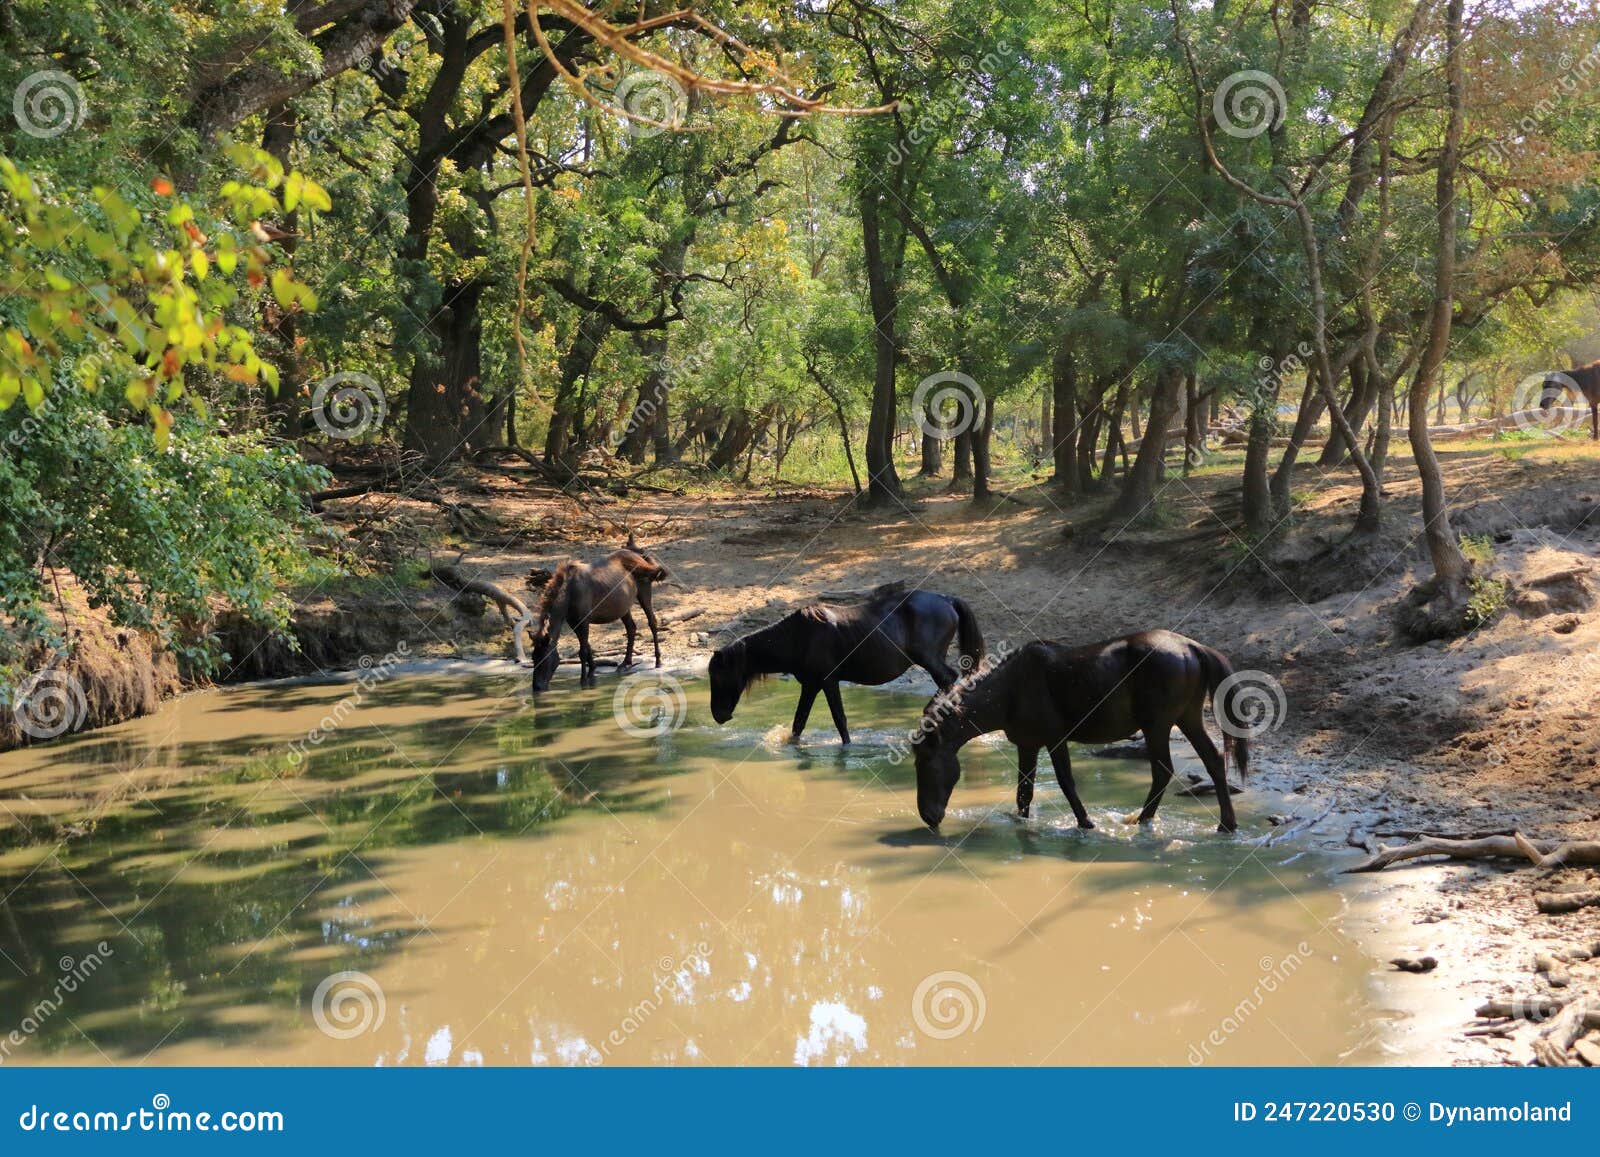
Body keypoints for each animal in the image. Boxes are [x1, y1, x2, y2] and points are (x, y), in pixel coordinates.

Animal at [529, 540, 669, 691]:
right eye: (533, 658)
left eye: (544, 659)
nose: (537, 687)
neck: (569, 592)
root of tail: (641, 557)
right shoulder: (574, 622)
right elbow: (588, 648)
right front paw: (592, 671)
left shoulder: (583, 621)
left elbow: (582, 651)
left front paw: (584, 680)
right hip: (624, 608)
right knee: (631, 628)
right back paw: (625, 663)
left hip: (644, 593)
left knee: (652, 622)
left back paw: (658, 661)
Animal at [708, 585, 984, 745]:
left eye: (719, 675)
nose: (719, 715)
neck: (800, 636)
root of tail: (947, 599)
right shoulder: (810, 685)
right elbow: (799, 722)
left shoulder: (828, 681)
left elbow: (840, 719)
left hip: (929, 658)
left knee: (948, 679)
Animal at [911, 630, 1250, 834]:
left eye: (925, 762)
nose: (928, 816)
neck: (1012, 689)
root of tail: (1192, 646)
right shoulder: (1027, 744)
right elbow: (1024, 792)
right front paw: (1022, 823)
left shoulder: (1054, 740)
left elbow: (1066, 782)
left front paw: (1086, 822)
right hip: (1187, 718)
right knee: (1213, 760)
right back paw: (1226, 824)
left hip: (1158, 725)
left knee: (1163, 771)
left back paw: (1141, 820)